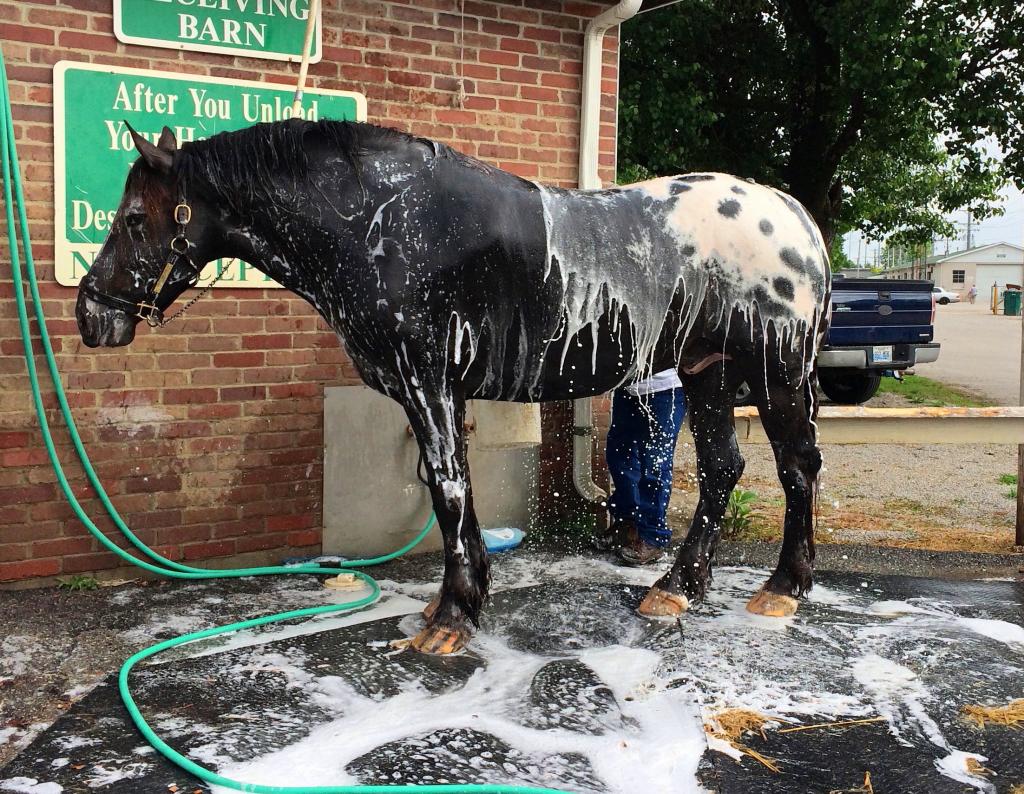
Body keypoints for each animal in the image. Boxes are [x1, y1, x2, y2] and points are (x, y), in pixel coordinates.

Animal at [76, 120, 831, 655]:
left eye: (134, 219)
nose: (91, 314)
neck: (380, 219)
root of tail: (798, 221)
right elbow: (454, 494)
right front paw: (457, 605)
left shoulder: (430, 383)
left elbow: (449, 490)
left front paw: (452, 616)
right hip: (710, 374)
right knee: (723, 469)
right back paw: (677, 588)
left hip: (776, 375)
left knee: (797, 468)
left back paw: (782, 588)